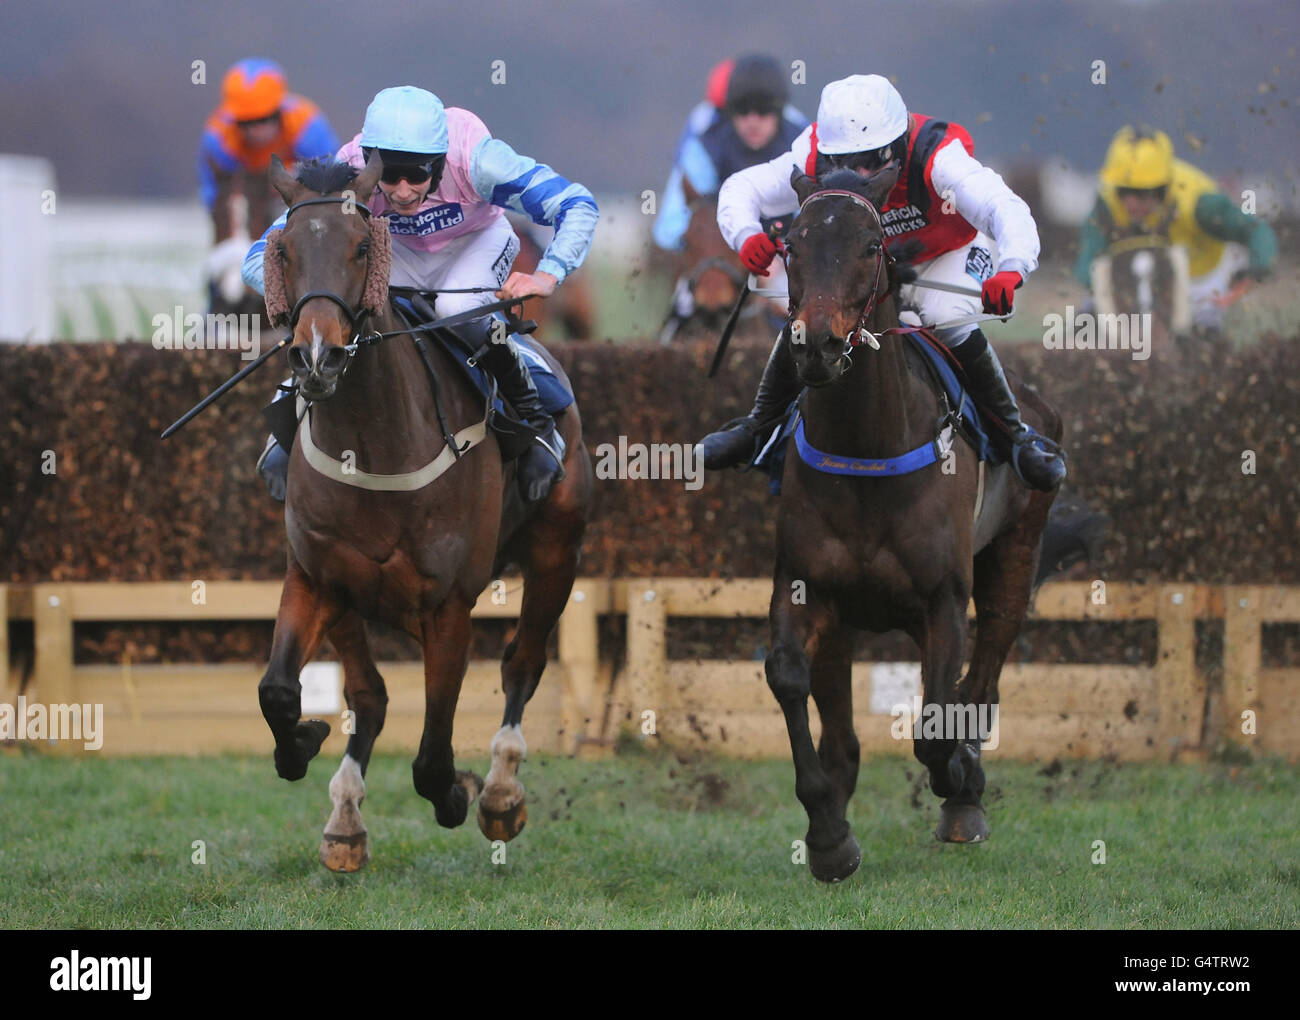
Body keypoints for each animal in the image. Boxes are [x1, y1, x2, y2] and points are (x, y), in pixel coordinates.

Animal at [259, 152, 592, 872]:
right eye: (284, 249)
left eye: (362, 248)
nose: (317, 355)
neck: (374, 446)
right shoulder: (316, 577)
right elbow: (282, 691)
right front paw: (303, 745)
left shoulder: (447, 607)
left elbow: (432, 758)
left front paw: (460, 794)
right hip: (351, 600)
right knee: (370, 695)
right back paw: (345, 819)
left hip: (558, 551)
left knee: (522, 663)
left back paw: (500, 791)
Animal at [766, 164, 1064, 882]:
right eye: (791, 246)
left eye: (871, 245)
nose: (817, 346)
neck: (867, 448)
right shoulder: (806, 587)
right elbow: (787, 677)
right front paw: (829, 836)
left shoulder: (943, 601)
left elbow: (936, 722)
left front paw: (959, 778)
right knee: (844, 731)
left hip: (1015, 557)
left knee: (982, 681)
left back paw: (965, 795)